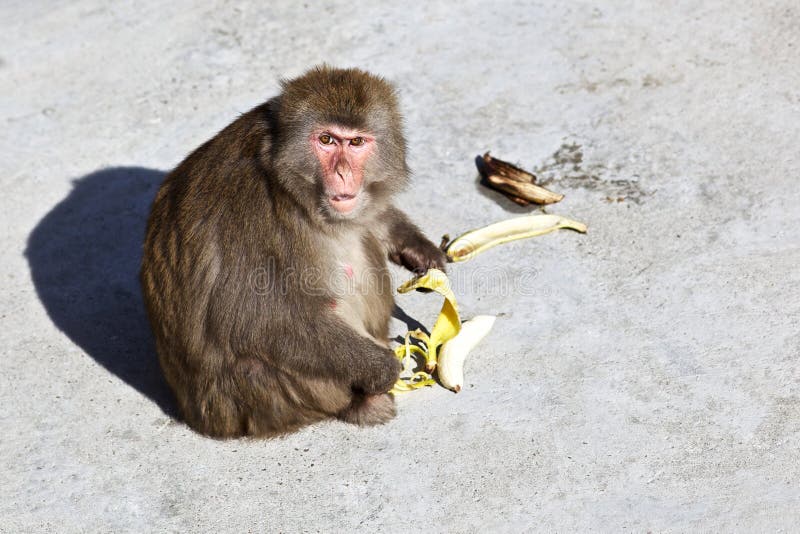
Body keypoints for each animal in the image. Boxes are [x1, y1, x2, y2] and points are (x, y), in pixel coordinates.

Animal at [140, 66, 447, 438]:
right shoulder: (250, 208)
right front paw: (385, 370)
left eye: (356, 142)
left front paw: (418, 249)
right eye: (326, 140)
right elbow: (258, 319)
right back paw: (363, 404)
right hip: (269, 399)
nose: (343, 173)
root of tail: (200, 417)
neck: (291, 187)